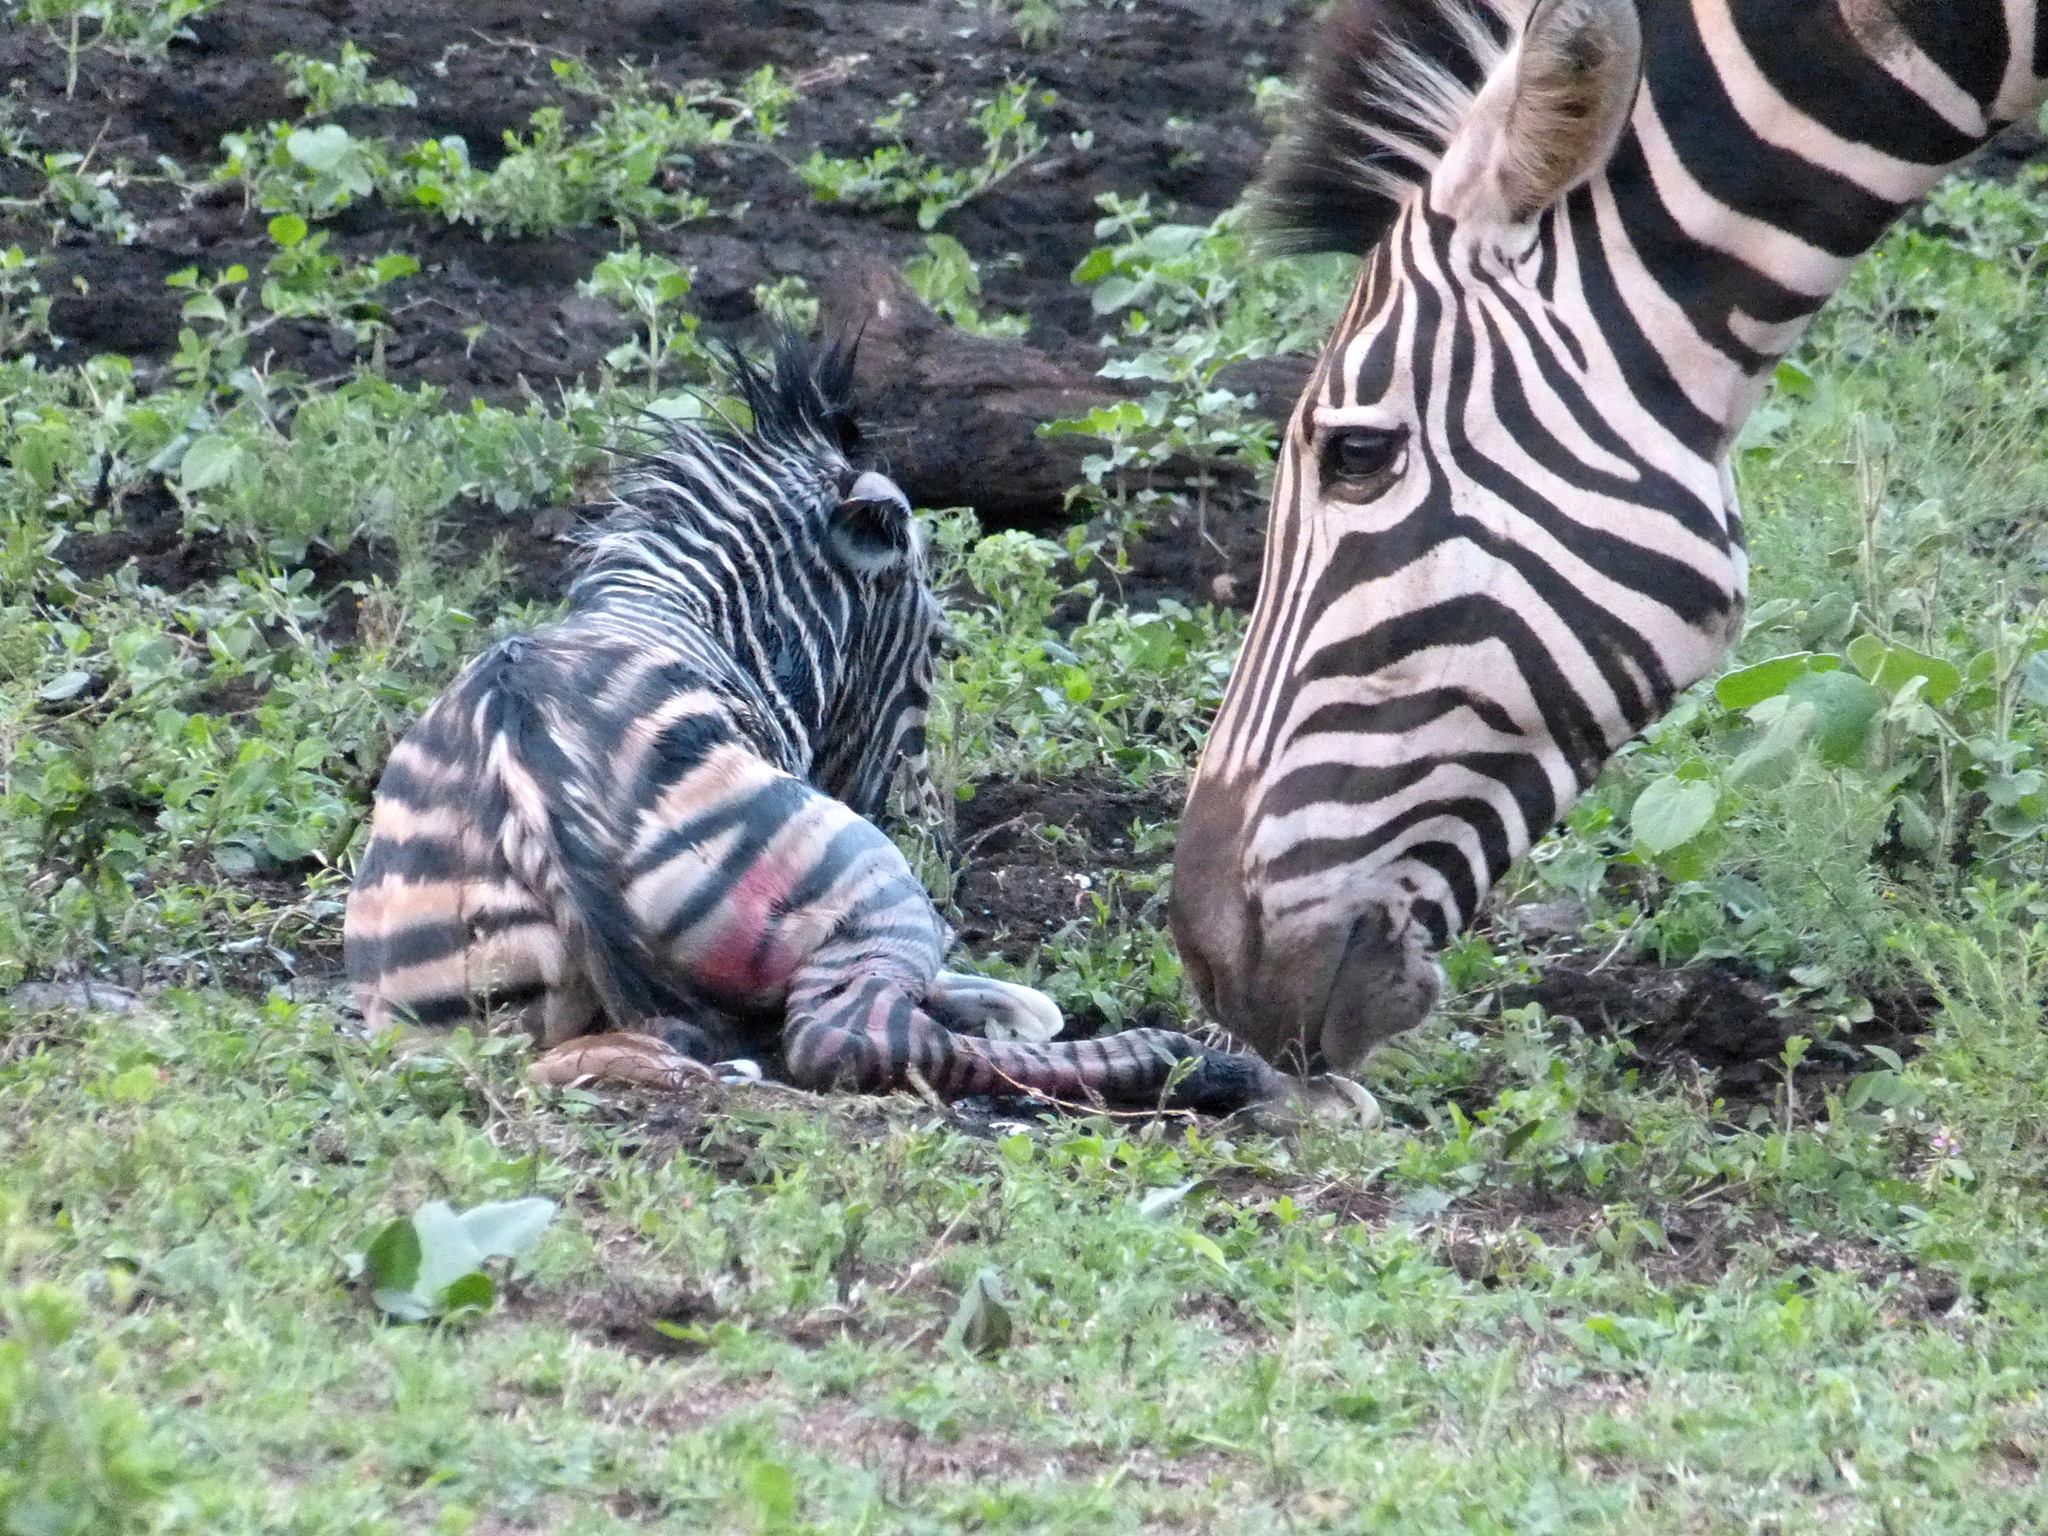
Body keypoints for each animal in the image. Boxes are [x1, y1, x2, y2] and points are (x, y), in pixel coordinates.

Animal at [344, 337, 1278, 1113]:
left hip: (458, 1031)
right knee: (853, 1038)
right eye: (939, 644)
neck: (690, 612)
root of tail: (524, 764)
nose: (944, 852)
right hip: (868, 878)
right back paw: (1200, 1067)